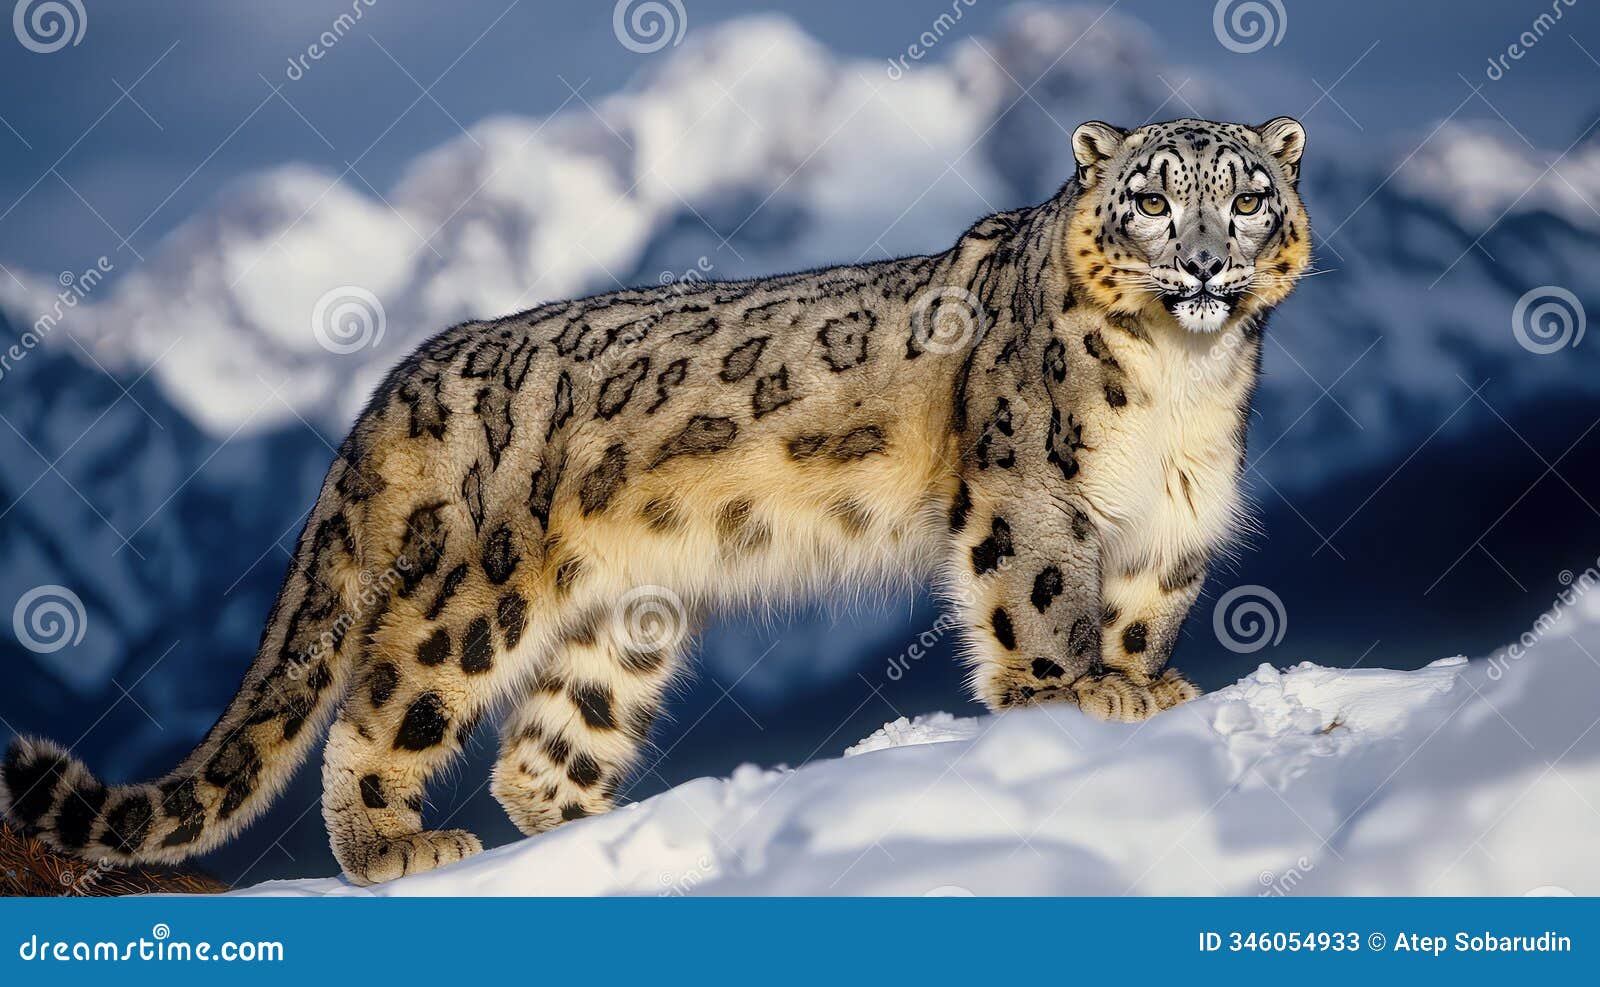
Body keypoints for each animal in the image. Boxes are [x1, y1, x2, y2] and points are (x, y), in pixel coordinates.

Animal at [0, 116, 1310, 886]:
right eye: (1152, 199)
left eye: (1246, 198)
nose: (1203, 262)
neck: (1183, 384)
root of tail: (401, 381)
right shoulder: (1035, 491)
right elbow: (1039, 601)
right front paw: (1066, 699)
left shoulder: (1173, 519)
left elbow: (1136, 612)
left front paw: (1143, 686)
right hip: (469, 592)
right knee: (382, 701)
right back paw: (396, 843)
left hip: (617, 627)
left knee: (543, 755)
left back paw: (609, 837)